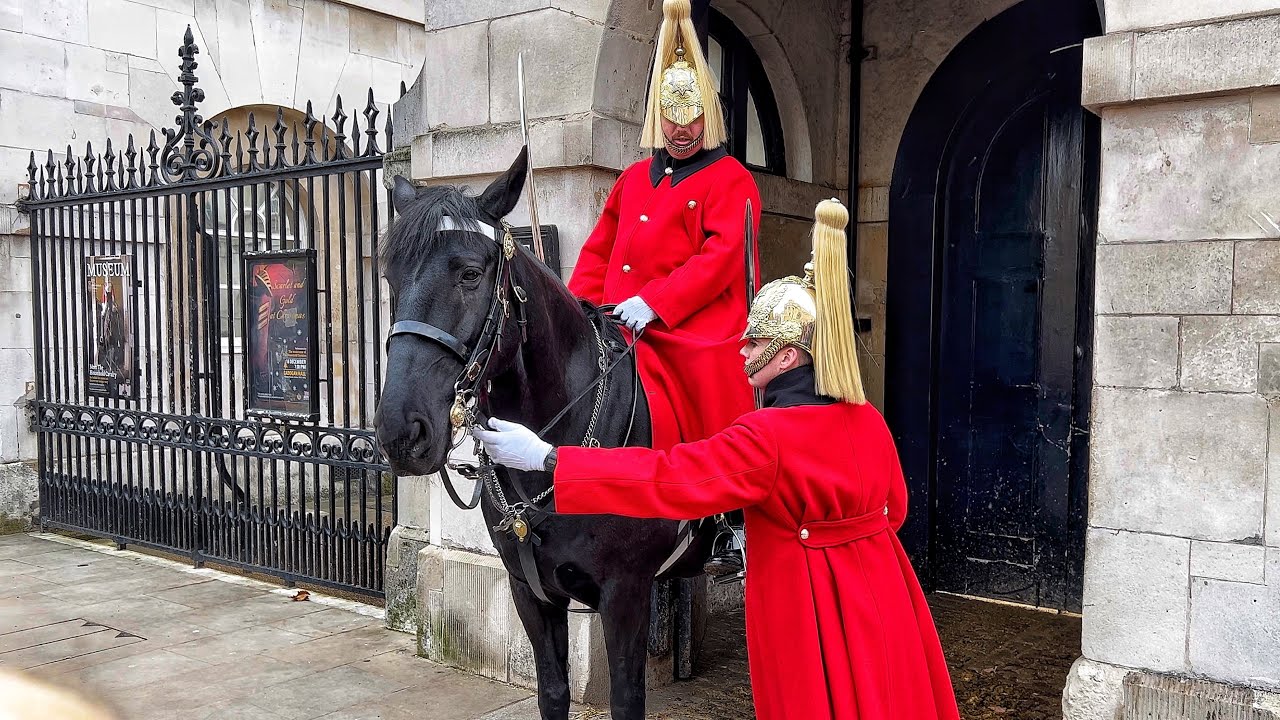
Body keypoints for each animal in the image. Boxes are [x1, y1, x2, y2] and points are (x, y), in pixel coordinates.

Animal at [373, 148, 714, 720]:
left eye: (470, 274)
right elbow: (552, 692)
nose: (402, 431)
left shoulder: (625, 593)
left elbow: (626, 700)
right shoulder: (528, 590)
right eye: (390, 276)